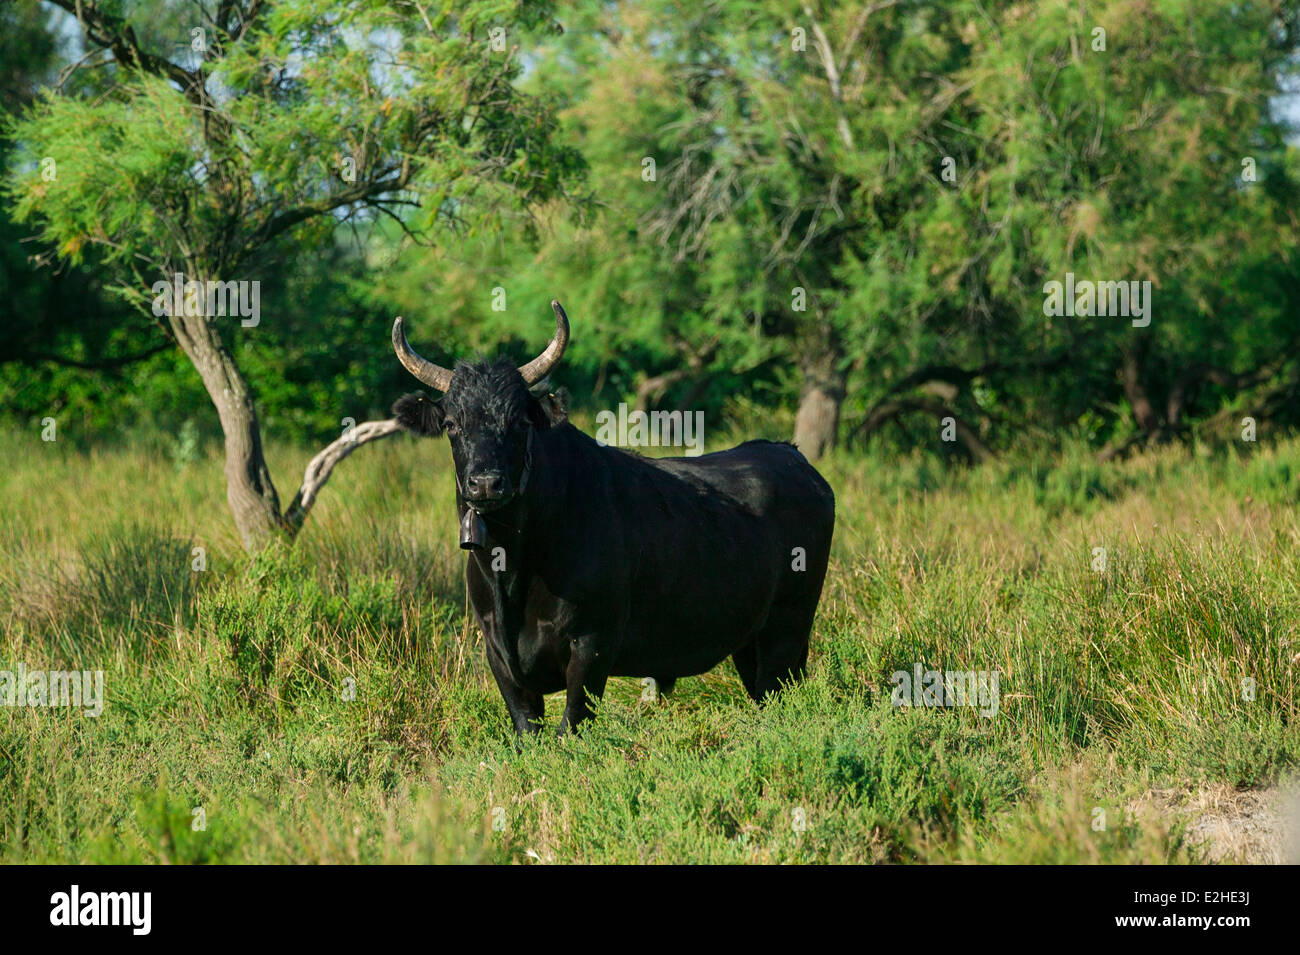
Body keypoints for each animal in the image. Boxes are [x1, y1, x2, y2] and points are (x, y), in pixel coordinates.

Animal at [390, 300, 835, 736]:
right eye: (452, 424)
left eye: (518, 420)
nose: (486, 483)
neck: (513, 569)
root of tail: (788, 453)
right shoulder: (499, 655)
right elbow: (527, 732)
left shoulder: (592, 644)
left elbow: (571, 725)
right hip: (750, 640)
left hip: (787, 628)